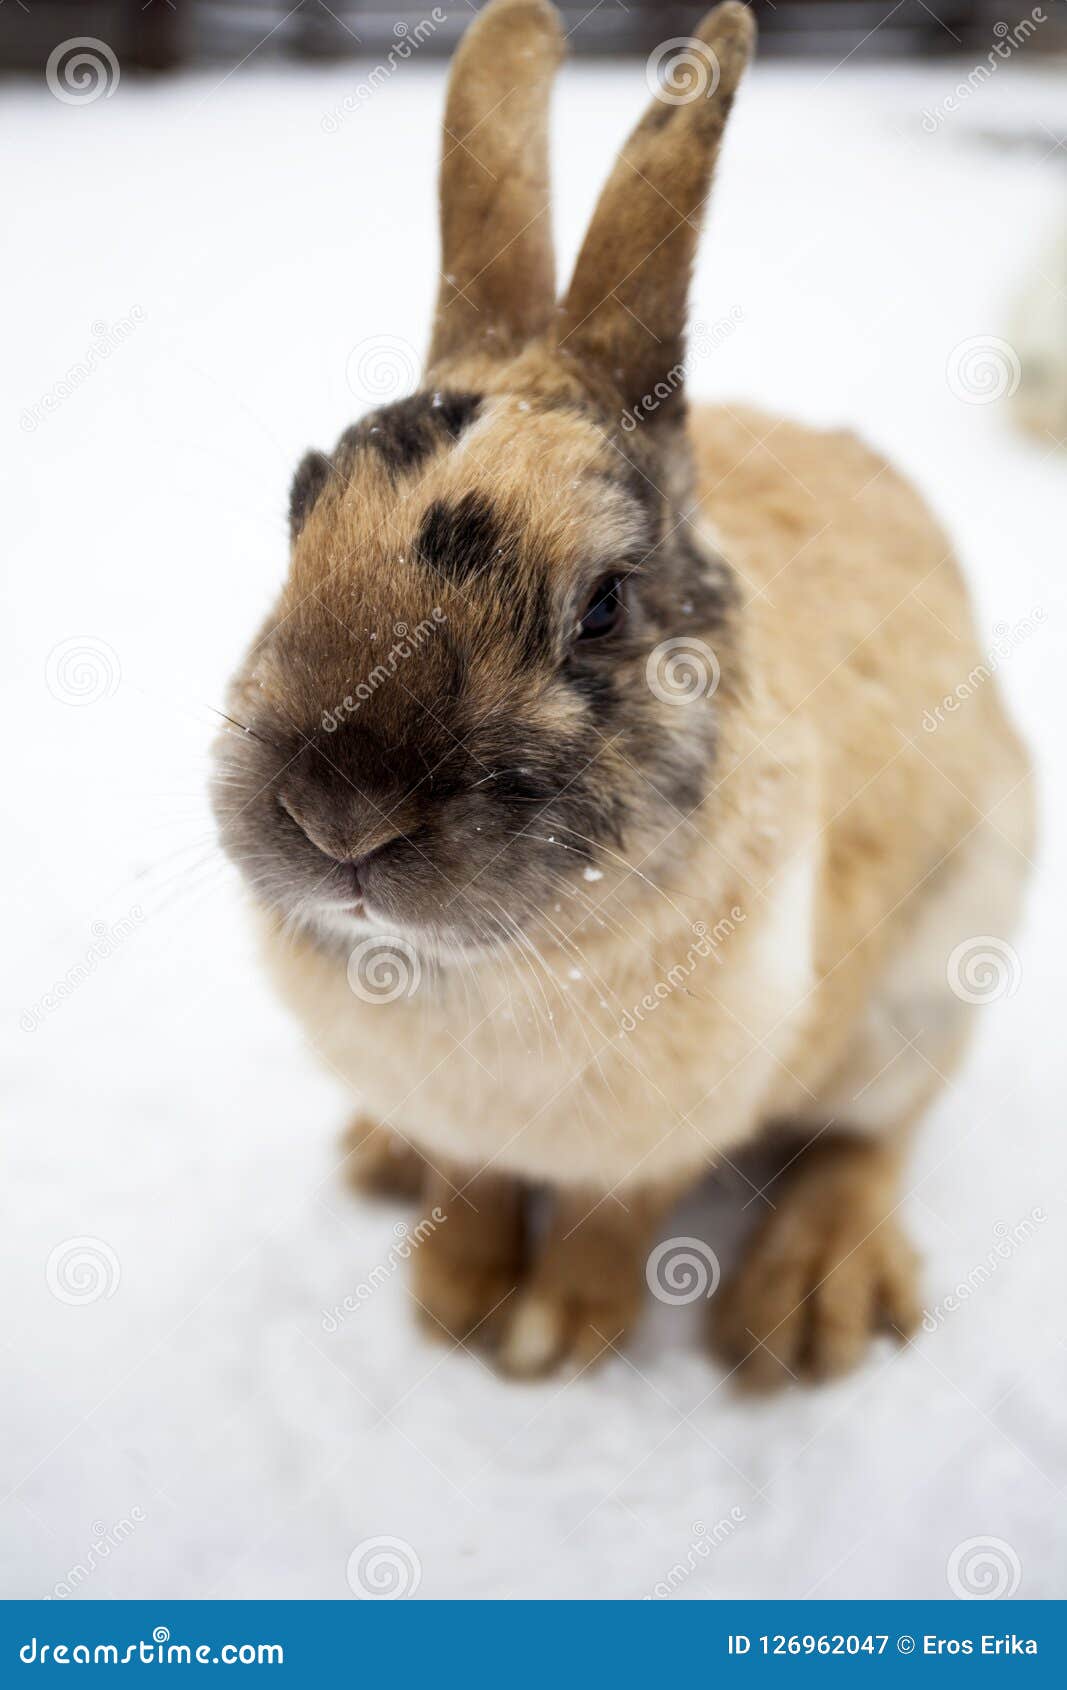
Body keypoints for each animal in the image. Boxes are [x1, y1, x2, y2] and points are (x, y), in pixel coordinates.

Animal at [211, 0, 1033, 1388]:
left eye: (602, 607)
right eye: (299, 510)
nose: (339, 816)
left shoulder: (669, 1119)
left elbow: (615, 1210)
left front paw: (553, 1338)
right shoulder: (470, 1124)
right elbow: (473, 1181)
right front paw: (452, 1298)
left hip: (933, 973)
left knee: (871, 1138)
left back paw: (804, 1306)